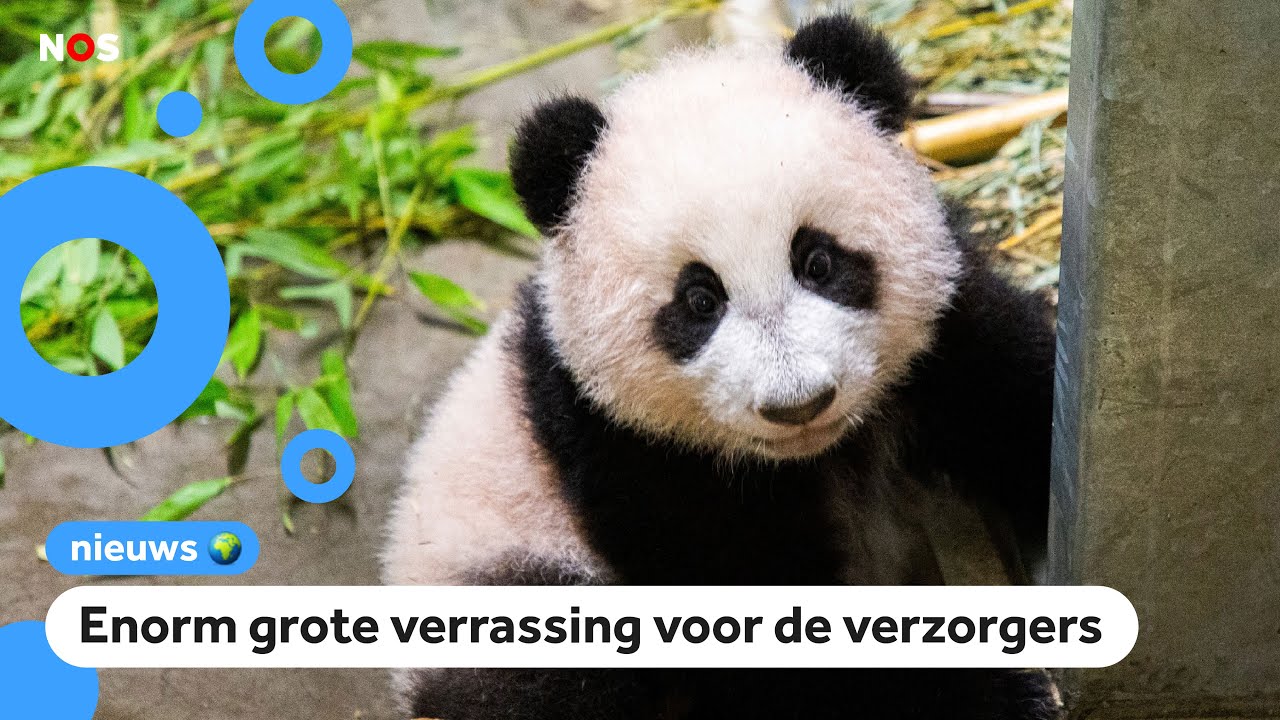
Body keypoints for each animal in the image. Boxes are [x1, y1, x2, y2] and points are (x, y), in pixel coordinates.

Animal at [383, 14, 1059, 720]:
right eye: (699, 300)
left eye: (818, 261)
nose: (799, 404)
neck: (820, 453)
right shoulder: (628, 447)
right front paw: (995, 693)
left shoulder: (941, 337)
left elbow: (1016, 401)